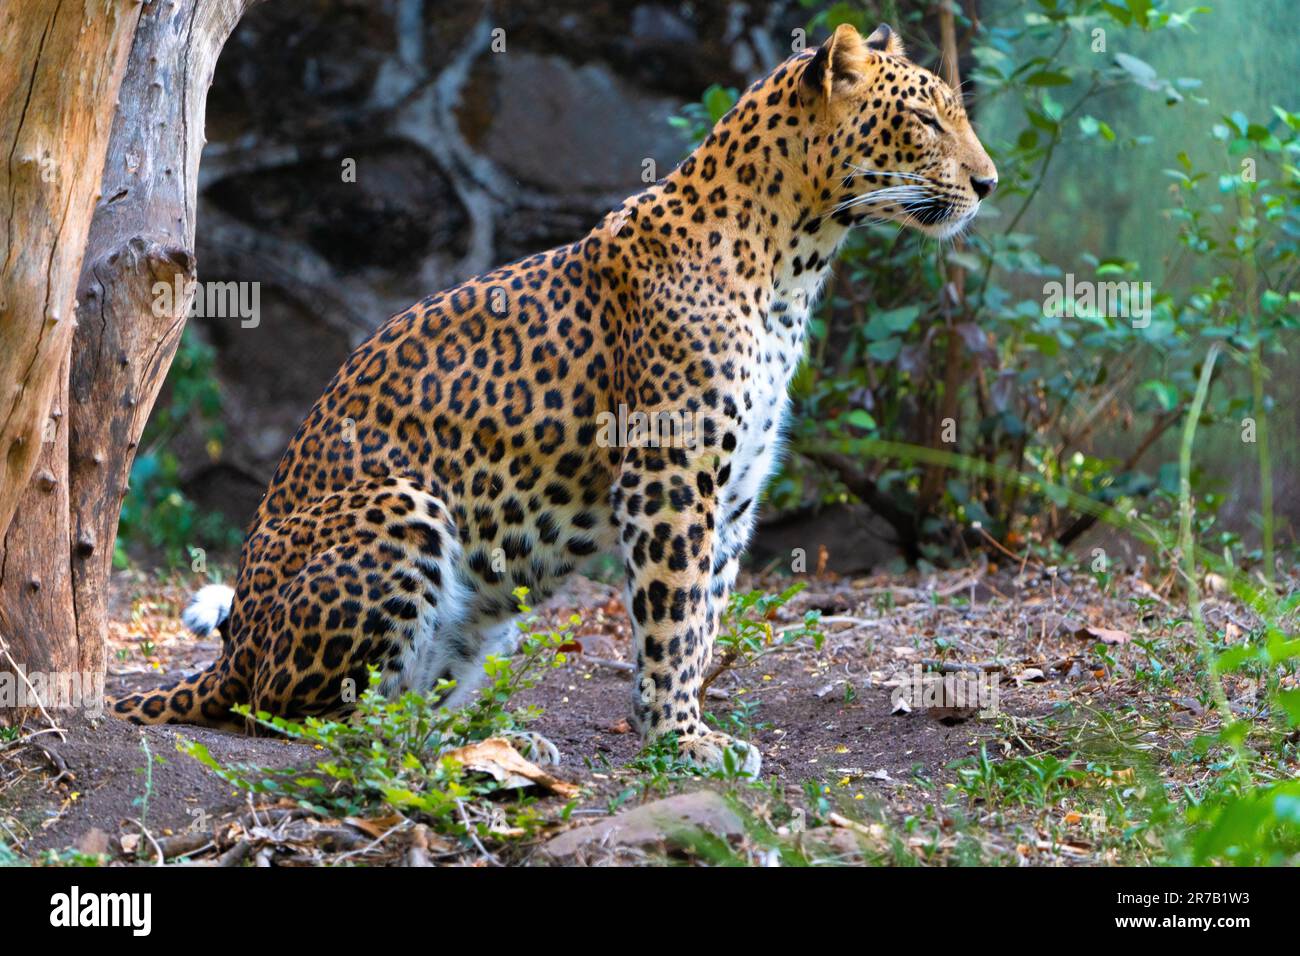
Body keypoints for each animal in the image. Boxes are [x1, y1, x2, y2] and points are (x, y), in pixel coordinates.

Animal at [110, 23, 997, 776]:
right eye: (924, 119)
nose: (988, 183)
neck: (796, 261)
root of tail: (233, 649)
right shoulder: (669, 476)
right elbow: (673, 617)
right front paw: (680, 738)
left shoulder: (737, 490)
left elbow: (705, 616)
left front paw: (683, 727)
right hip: (399, 507)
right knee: (305, 714)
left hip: (481, 597)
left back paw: (499, 738)